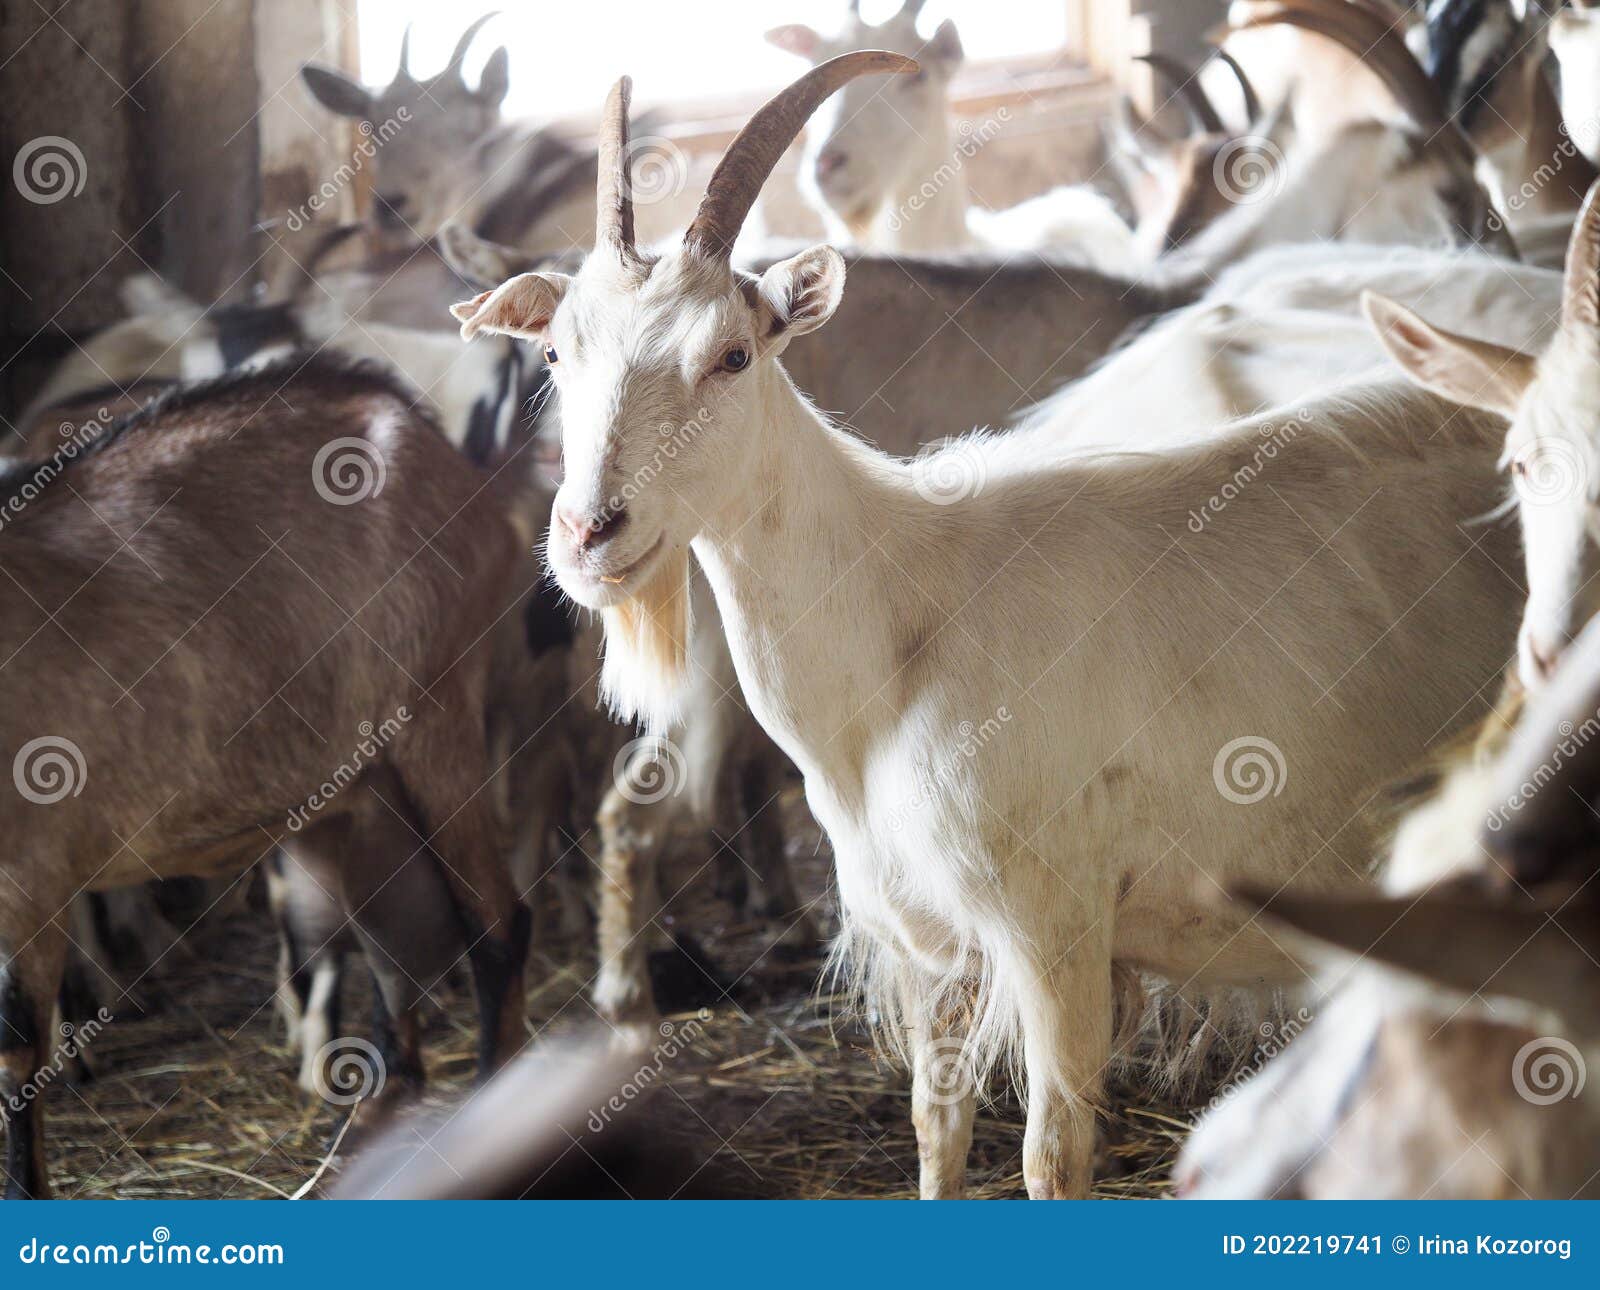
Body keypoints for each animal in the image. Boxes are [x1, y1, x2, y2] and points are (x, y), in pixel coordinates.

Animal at [0, 357, 529, 1198]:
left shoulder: (32, 866)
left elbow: (18, 1043)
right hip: (355, 796)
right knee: (394, 946)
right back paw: (366, 1136)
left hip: (435, 721)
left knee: (496, 923)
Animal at [454, 56, 1527, 1198]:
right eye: (555, 356)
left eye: (734, 355)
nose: (588, 533)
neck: (899, 622)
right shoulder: (931, 946)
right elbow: (937, 1127)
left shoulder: (1056, 932)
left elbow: (1050, 1154)